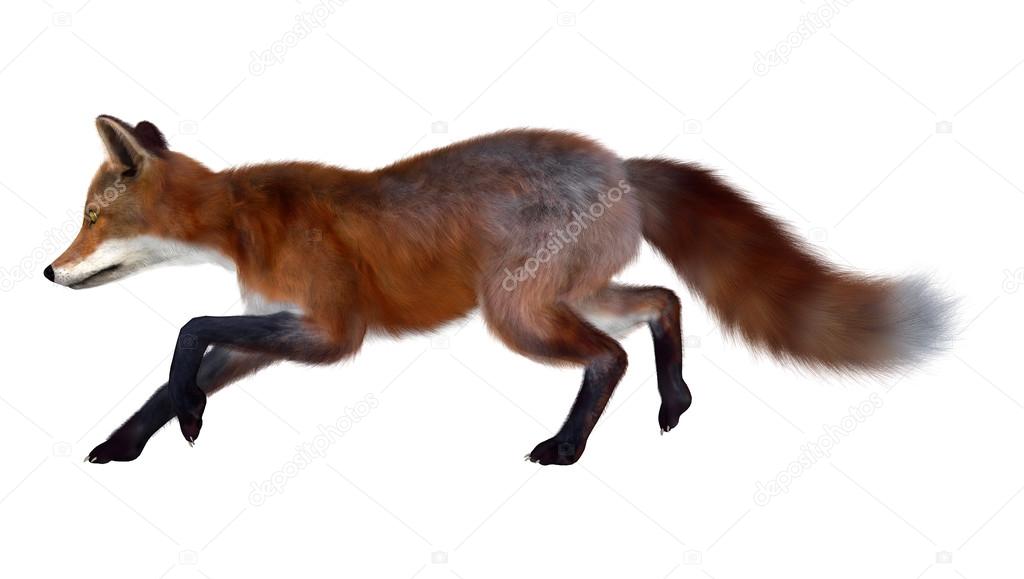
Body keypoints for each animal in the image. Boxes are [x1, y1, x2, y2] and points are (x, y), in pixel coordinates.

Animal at [46, 115, 952, 466]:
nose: (49, 272)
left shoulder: (333, 332)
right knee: (662, 300)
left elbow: (188, 331)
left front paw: (189, 418)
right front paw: (131, 441)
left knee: (611, 355)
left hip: (518, 313)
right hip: (563, 296)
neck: (243, 223)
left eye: (91, 217)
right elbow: (175, 373)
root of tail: (622, 168)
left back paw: (570, 445)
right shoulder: (273, 327)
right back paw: (675, 399)